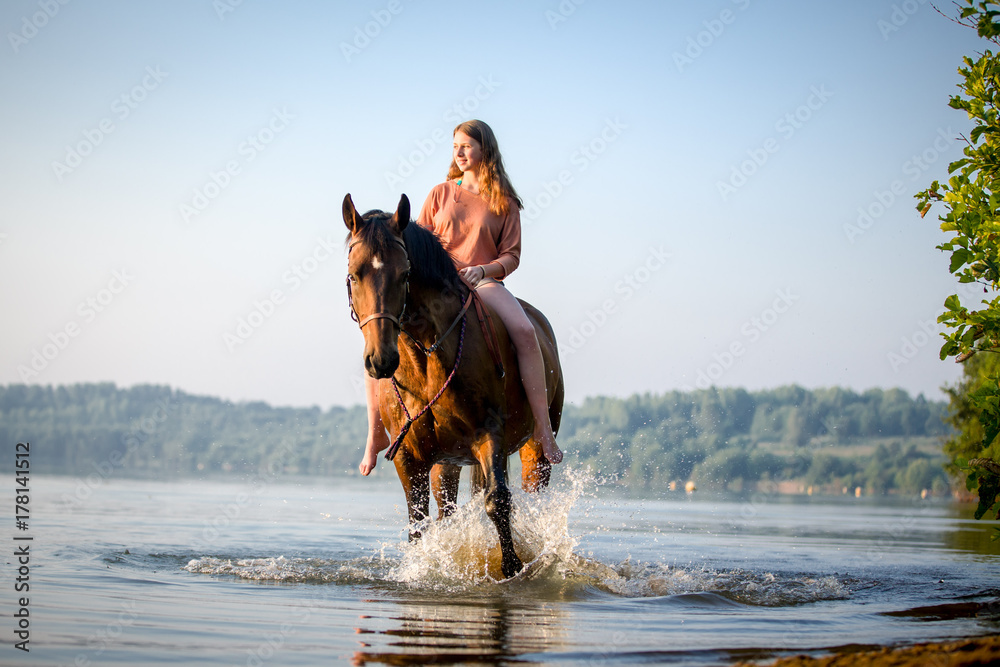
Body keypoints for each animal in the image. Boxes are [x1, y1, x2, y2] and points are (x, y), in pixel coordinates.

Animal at [343, 193, 565, 579]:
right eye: (354, 275)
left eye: (405, 274)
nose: (381, 361)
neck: (426, 358)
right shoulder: (410, 457)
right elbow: (418, 523)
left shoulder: (488, 433)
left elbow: (498, 503)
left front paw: (512, 568)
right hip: (446, 463)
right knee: (447, 510)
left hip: (534, 451)